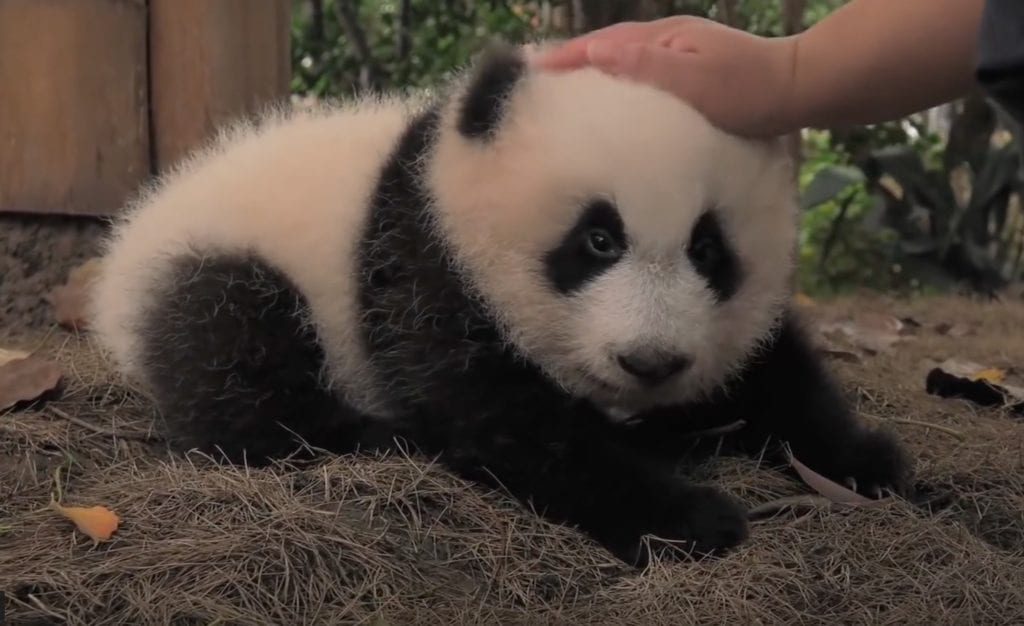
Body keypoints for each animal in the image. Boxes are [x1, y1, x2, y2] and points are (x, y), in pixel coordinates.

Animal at [89, 42, 912, 566]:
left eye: (709, 250)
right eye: (597, 240)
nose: (649, 362)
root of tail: (125, 249)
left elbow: (774, 372)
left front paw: (864, 463)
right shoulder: (420, 262)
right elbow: (494, 417)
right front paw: (687, 518)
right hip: (222, 262)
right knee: (233, 354)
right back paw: (374, 436)